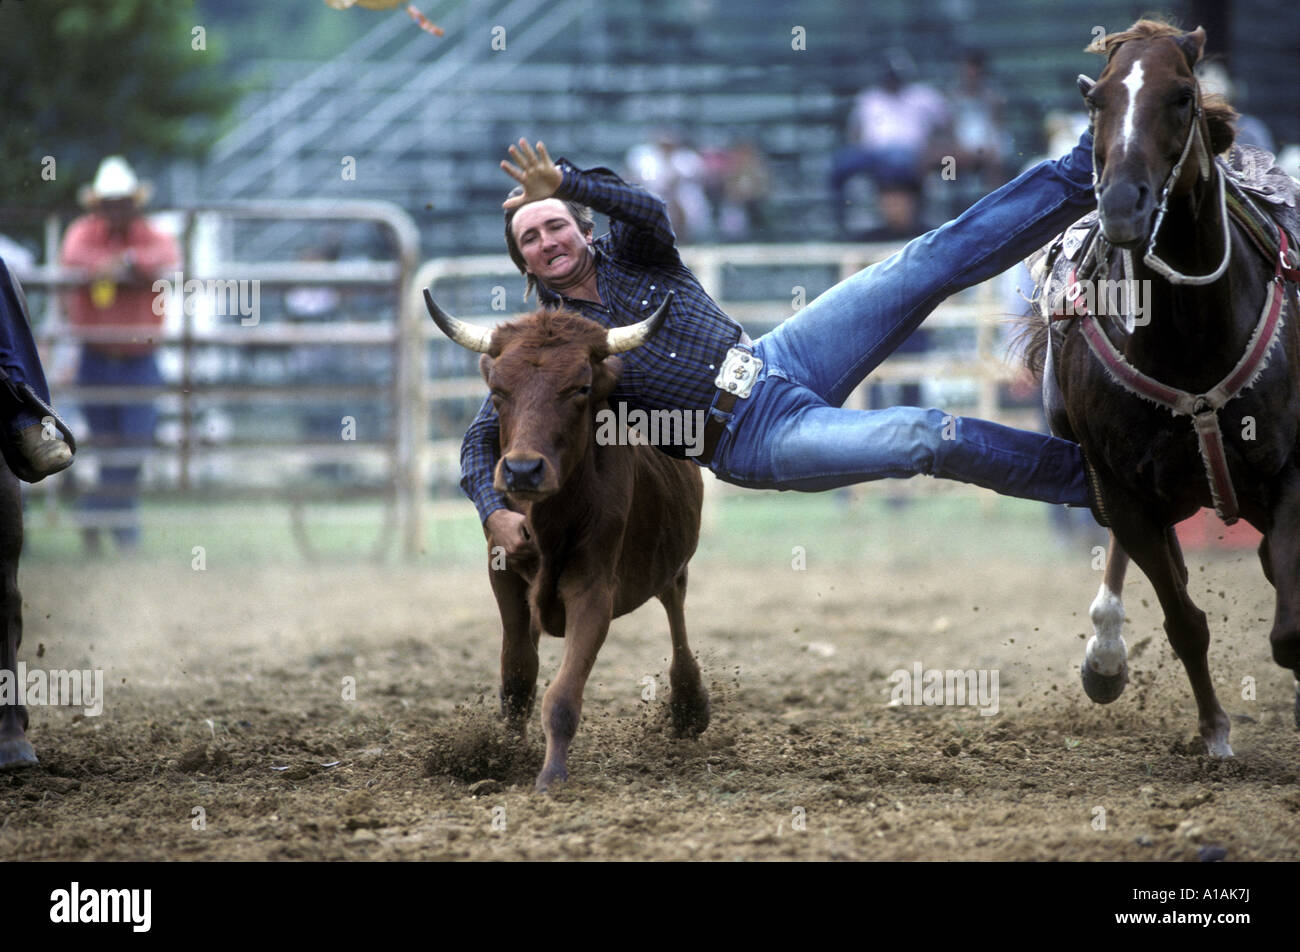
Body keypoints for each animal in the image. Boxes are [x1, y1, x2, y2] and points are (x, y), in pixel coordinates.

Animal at [426, 290, 709, 792]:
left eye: (579, 389)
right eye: (498, 392)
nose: (522, 470)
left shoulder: (593, 590)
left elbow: (562, 694)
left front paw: (551, 776)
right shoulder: (504, 578)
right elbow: (519, 675)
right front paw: (506, 753)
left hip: (673, 564)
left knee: (675, 613)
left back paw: (688, 706)